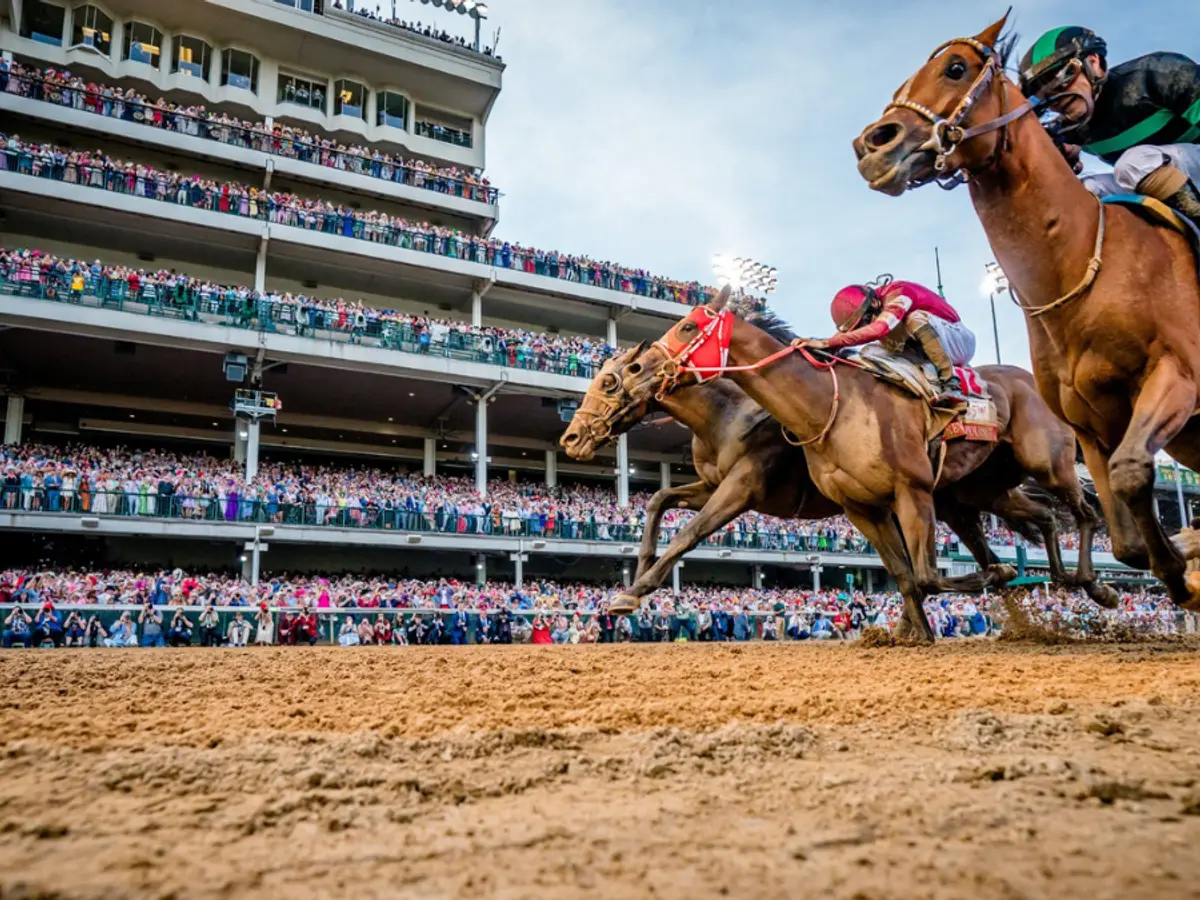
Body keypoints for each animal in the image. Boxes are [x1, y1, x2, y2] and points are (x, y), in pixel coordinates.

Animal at [852, 13, 1200, 611]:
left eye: (956, 68)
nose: (871, 144)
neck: (1081, 266)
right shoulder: (1089, 422)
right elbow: (1127, 535)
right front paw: (1153, 568)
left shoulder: (1179, 372)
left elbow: (1134, 478)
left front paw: (1177, 567)